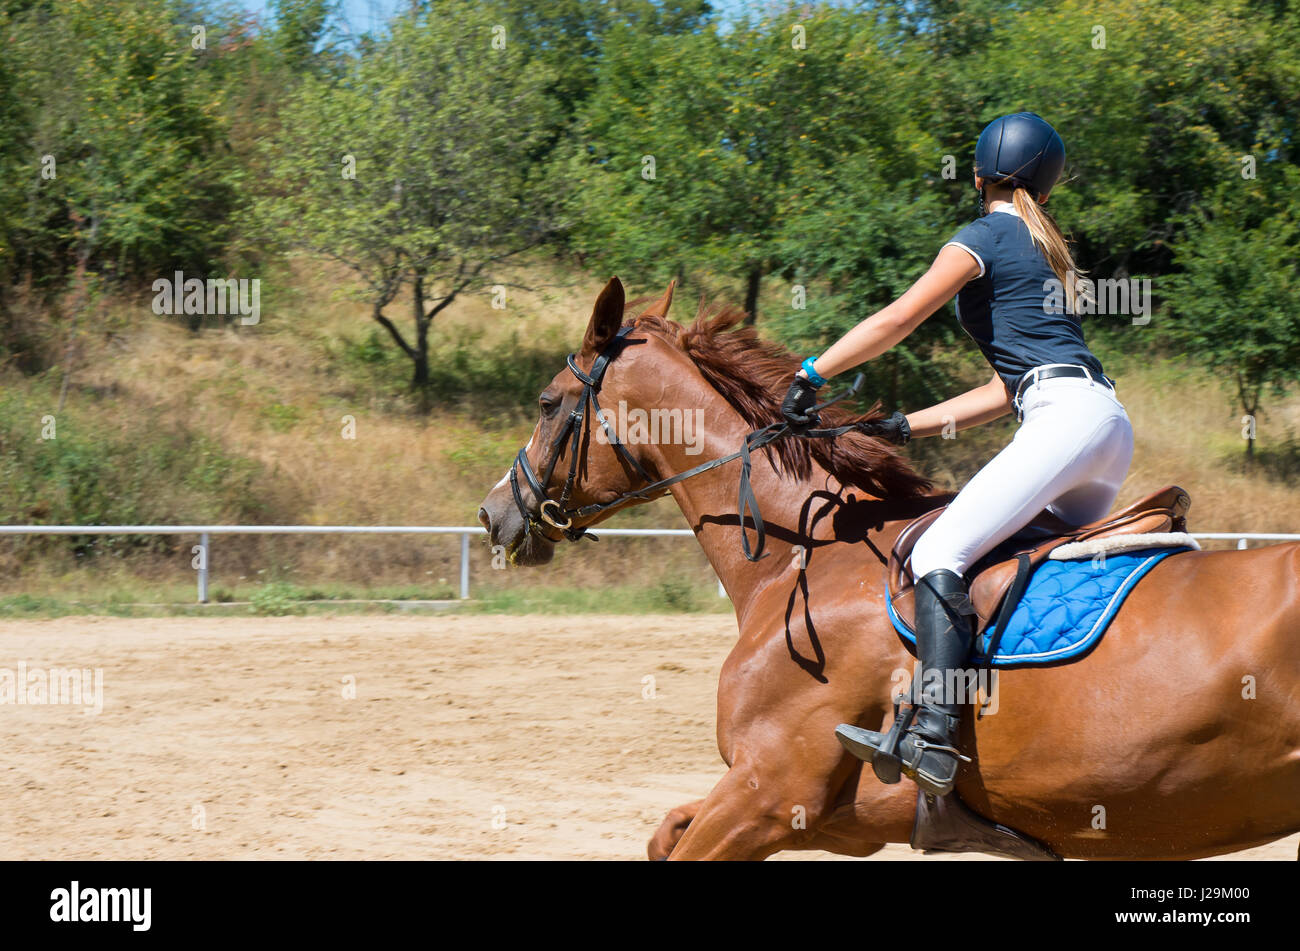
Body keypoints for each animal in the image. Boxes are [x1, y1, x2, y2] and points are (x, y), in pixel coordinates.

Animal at [476, 276, 1300, 860]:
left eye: (548, 402)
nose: (494, 514)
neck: (802, 556)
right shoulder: (827, 817)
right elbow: (664, 831)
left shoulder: (767, 793)